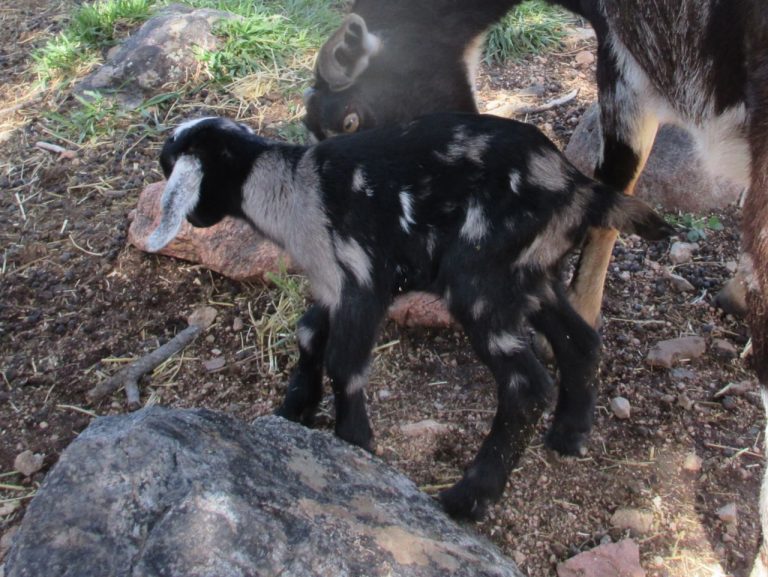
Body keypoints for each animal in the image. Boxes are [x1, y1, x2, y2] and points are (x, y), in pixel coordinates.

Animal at [147, 114, 672, 519]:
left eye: (172, 166)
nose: (191, 221)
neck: (292, 187)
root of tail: (576, 185)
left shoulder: (362, 282)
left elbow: (345, 364)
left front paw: (355, 444)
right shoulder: (331, 285)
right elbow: (309, 333)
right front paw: (295, 410)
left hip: (478, 276)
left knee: (525, 386)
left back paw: (470, 497)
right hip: (530, 275)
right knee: (580, 340)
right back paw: (570, 433)